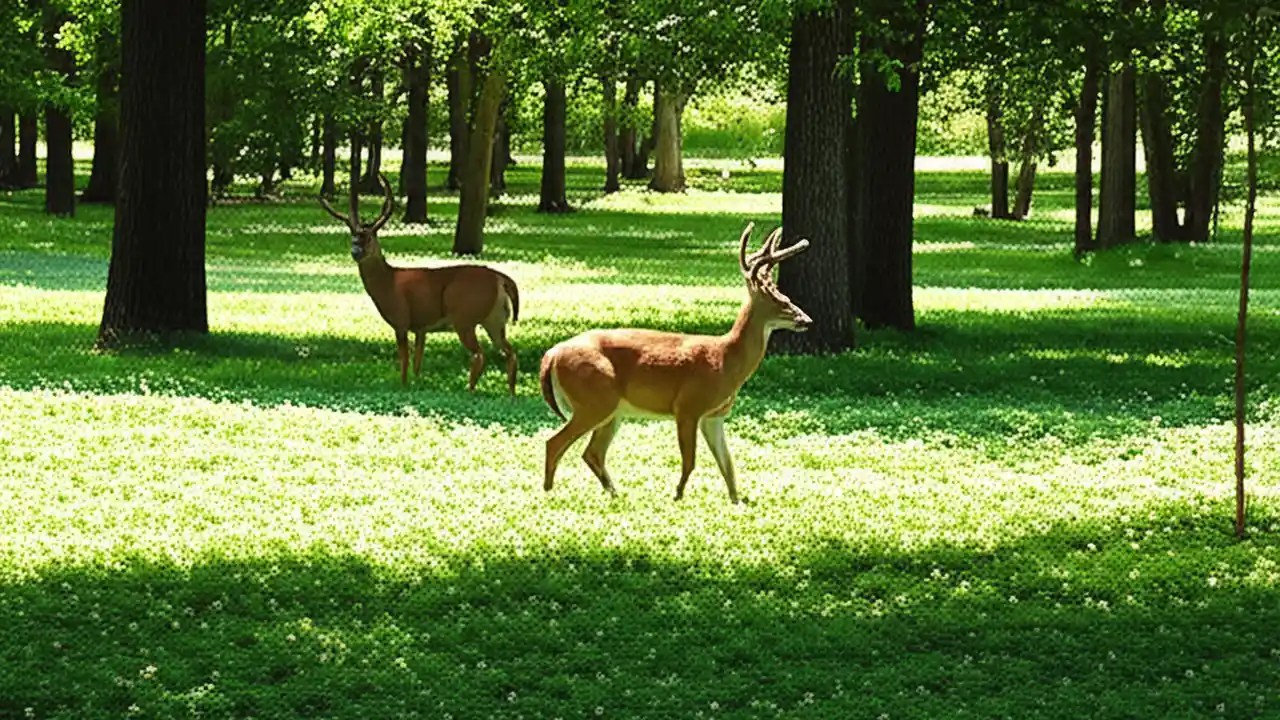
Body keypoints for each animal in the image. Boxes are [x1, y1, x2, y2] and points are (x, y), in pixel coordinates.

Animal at [319, 173, 520, 394]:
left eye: (369, 238)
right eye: (352, 239)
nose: (355, 251)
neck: (388, 281)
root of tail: (501, 279)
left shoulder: (401, 319)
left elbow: (405, 359)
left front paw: (403, 385)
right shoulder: (421, 327)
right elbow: (417, 362)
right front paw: (416, 383)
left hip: (465, 316)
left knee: (480, 354)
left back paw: (470, 390)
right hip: (495, 319)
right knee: (510, 353)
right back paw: (510, 393)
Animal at [538, 223, 812, 505]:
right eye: (780, 300)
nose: (806, 319)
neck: (725, 360)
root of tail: (551, 355)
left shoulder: (715, 415)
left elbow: (728, 465)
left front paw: (736, 502)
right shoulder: (688, 406)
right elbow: (690, 461)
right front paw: (677, 497)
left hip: (611, 409)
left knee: (592, 452)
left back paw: (616, 495)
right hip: (593, 400)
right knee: (555, 443)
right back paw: (548, 495)